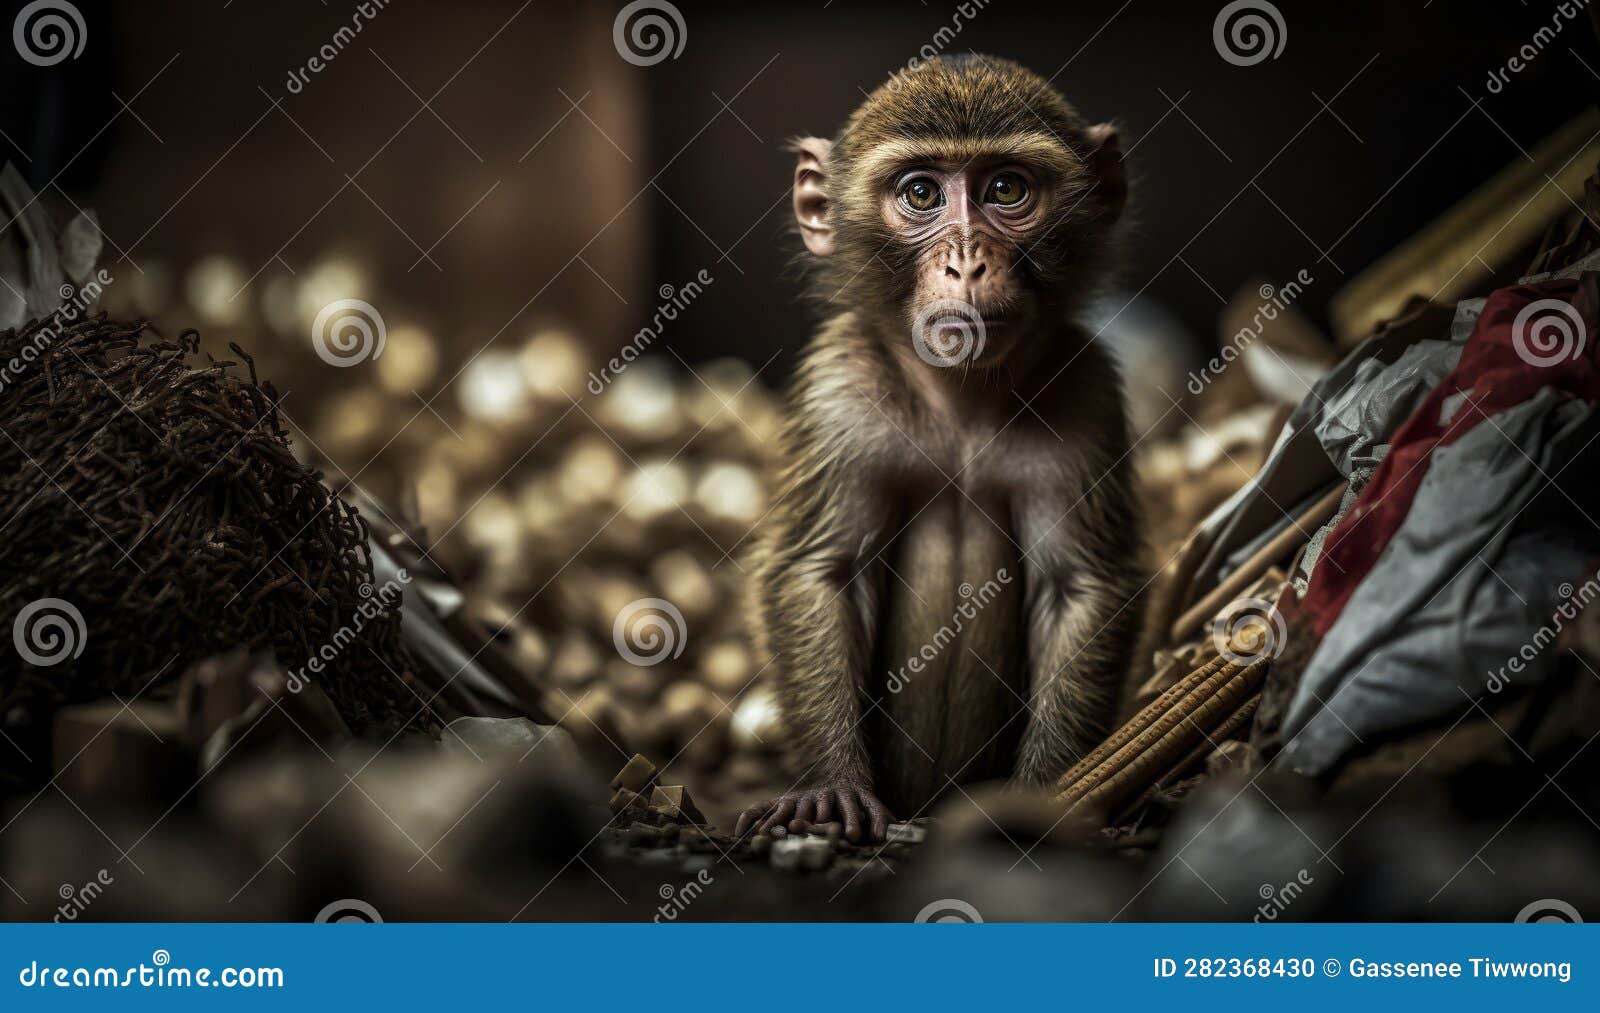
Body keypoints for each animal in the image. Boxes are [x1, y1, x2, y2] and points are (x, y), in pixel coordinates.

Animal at [735, 55, 1145, 844]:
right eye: (921, 192)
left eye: (1007, 190)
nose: (965, 263)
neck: (960, 401)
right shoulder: (838, 387)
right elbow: (823, 569)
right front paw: (832, 785)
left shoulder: (1085, 392)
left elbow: (1078, 585)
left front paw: (1042, 798)